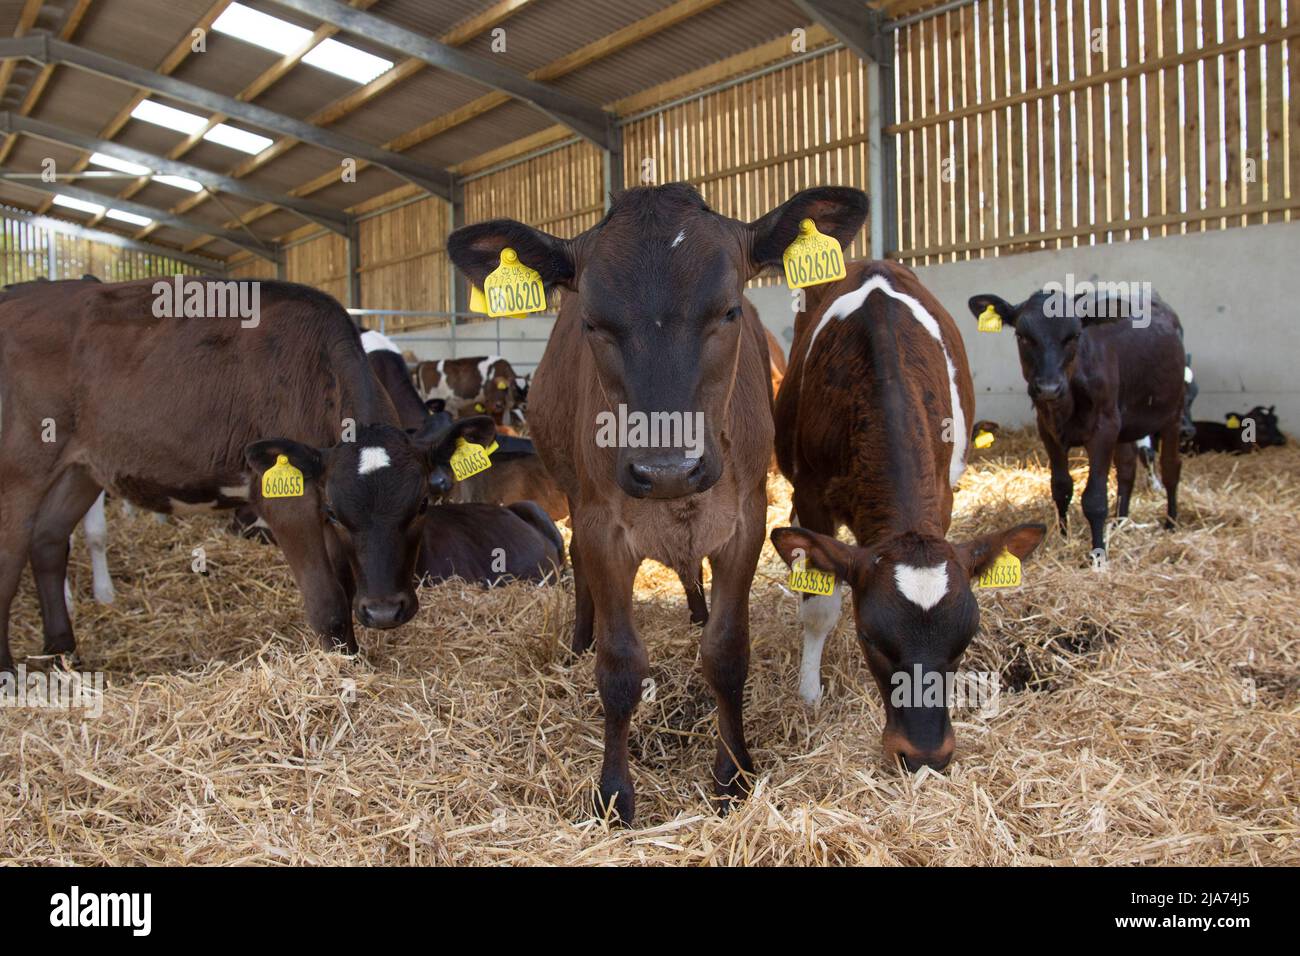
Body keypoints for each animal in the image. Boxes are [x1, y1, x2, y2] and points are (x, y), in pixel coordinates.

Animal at [0, 277, 496, 670]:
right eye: (337, 513)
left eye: (423, 504)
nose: (384, 612)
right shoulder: (288, 501)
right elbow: (328, 604)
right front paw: (346, 677)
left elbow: (343, 584)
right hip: (20, 468)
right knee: (11, 555)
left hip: (78, 470)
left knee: (47, 542)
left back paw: (62, 650)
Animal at [449, 182, 868, 822]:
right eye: (592, 322)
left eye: (730, 310)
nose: (667, 469)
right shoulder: (601, 525)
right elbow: (620, 667)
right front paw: (614, 794)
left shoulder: (746, 521)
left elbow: (726, 653)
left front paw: (733, 774)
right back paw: (579, 641)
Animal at [770, 260, 1045, 772]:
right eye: (871, 638)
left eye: (964, 641)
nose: (924, 754)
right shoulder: (812, 495)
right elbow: (819, 607)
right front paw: (809, 695)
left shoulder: (943, 496)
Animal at [967, 288, 1186, 553]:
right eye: (1022, 335)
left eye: (1075, 335)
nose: (1048, 388)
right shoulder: (1048, 430)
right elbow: (1061, 487)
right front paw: (1064, 537)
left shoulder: (1104, 428)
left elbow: (1095, 498)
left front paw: (1097, 553)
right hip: (1124, 425)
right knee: (1127, 469)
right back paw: (1120, 521)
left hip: (1172, 413)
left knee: (1171, 467)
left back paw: (1171, 522)